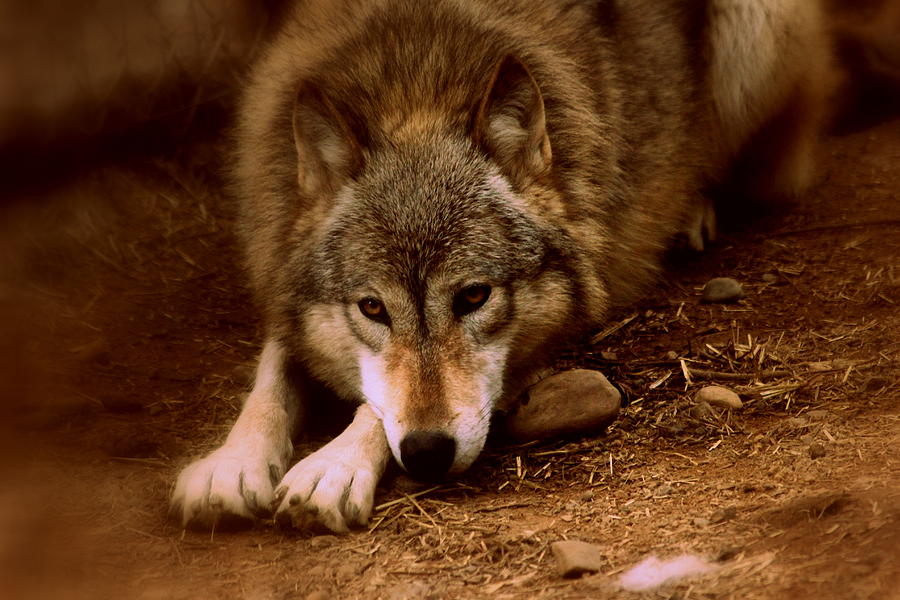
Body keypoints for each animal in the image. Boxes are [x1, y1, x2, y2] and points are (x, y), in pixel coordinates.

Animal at [171, 0, 831, 533]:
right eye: (372, 308)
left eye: (473, 297)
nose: (428, 454)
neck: (414, 87)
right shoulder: (280, 275)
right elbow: (273, 377)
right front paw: (231, 464)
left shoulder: (546, 337)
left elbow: (374, 408)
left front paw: (331, 465)